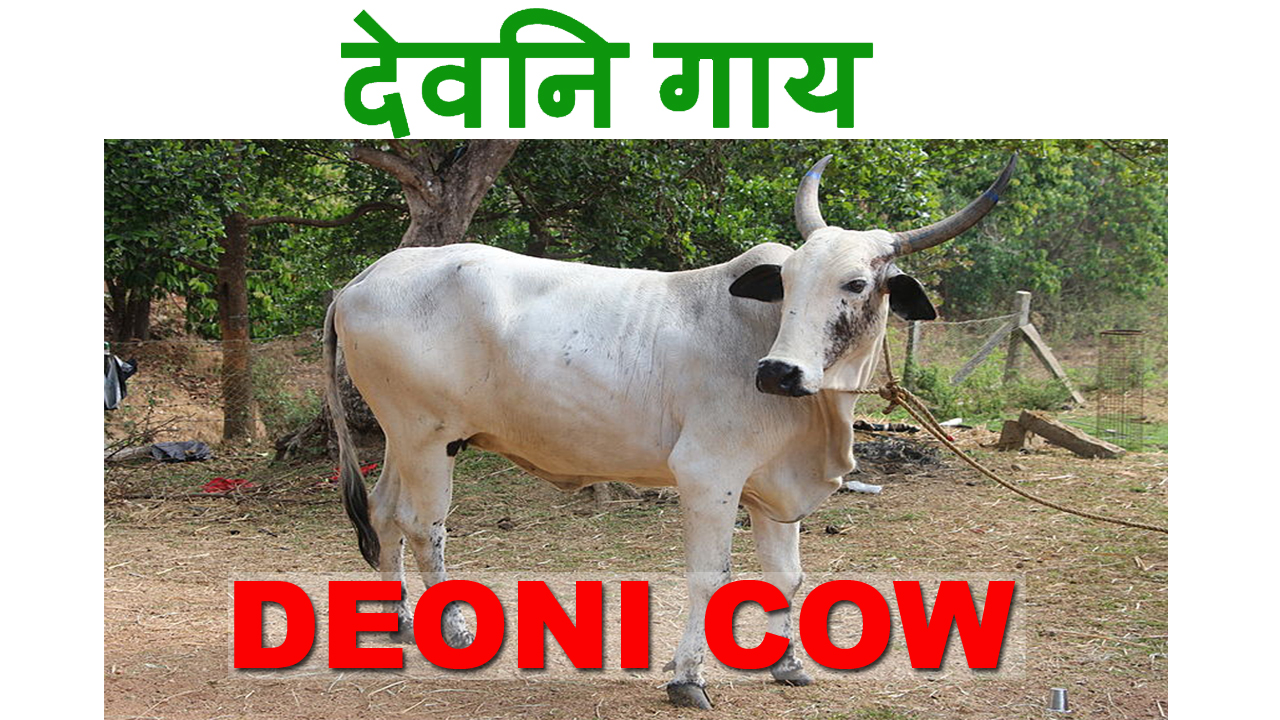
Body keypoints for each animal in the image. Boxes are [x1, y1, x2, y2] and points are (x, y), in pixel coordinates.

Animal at [324, 154, 1015, 708]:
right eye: (789, 282)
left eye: (855, 283)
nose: (779, 372)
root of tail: (364, 276)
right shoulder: (709, 475)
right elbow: (712, 575)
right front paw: (688, 677)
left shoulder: (774, 486)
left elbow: (786, 577)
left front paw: (788, 665)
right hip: (427, 437)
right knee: (423, 525)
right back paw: (454, 631)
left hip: (403, 438)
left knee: (384, 513)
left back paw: (397, 622)